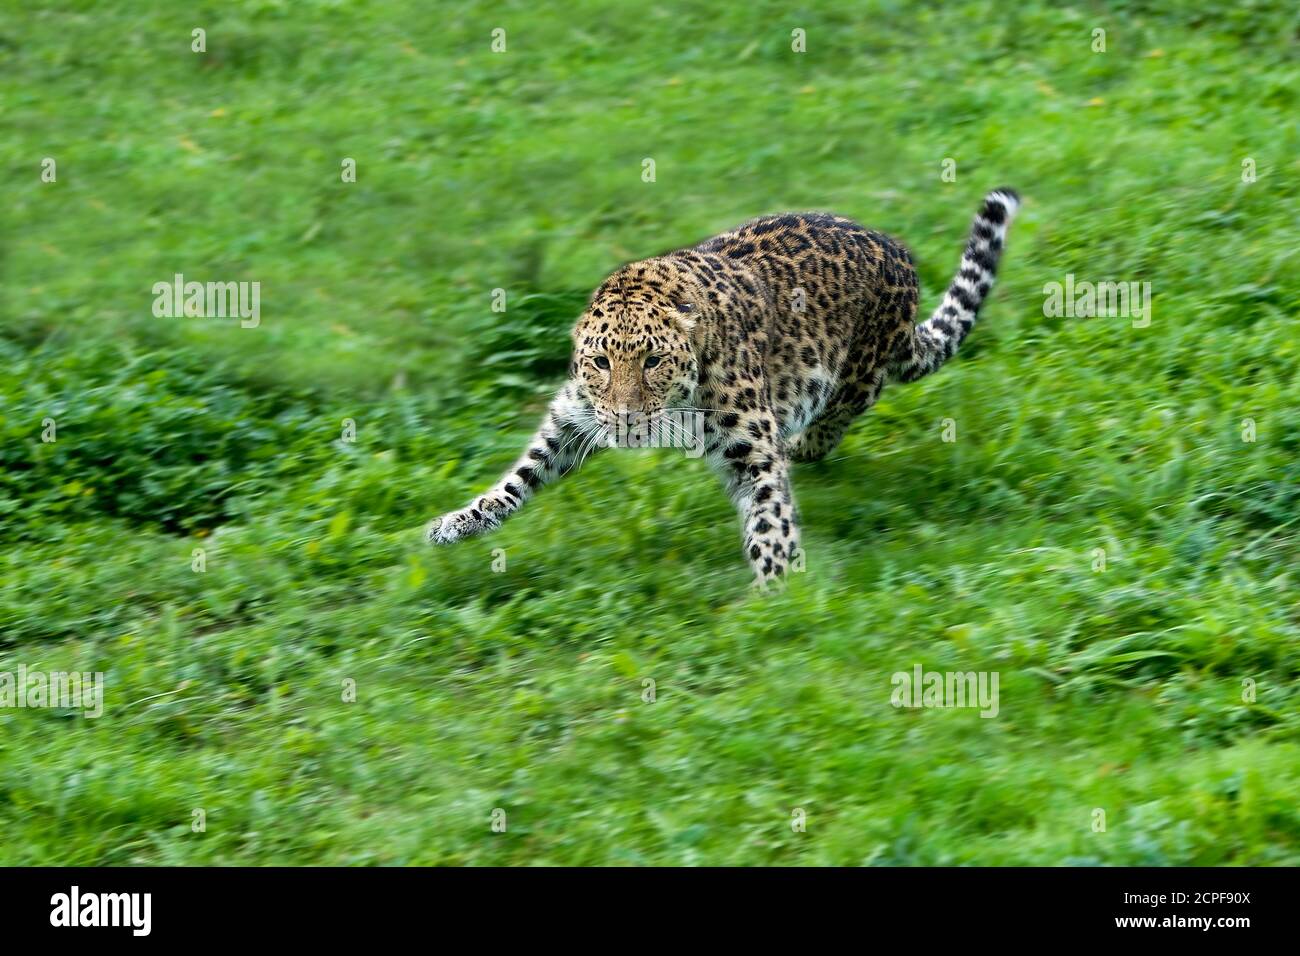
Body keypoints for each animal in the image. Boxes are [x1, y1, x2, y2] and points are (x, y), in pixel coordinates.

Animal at [427, 188, 1020, 586]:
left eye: (653, 361)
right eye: (600, 363)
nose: (626, 418)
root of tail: (899, 253)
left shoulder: (752, 448)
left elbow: (770, 516)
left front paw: (774, 597)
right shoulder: (574, 418)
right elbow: (521, 476)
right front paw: (458, 523)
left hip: (857, 376)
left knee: (832, 420)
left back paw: (802, 443)